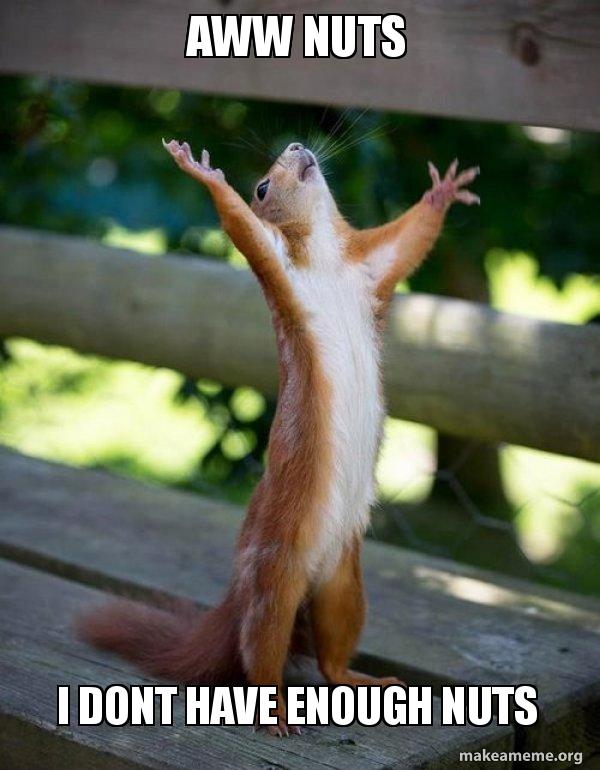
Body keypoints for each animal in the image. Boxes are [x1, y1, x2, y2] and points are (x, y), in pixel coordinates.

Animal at [79, 138, 479, 737]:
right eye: (262, 186)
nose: (296, 146)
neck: (327, 259)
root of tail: (240, 592)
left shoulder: (371, 267)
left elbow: (408, 241)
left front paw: (443, 191)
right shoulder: (278, 266)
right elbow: (242, 227)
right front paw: (204, 173)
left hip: (344, 584)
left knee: (332, 656)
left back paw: (360, 680)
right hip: (275, 578)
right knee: (260, 652)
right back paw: (276, 712)